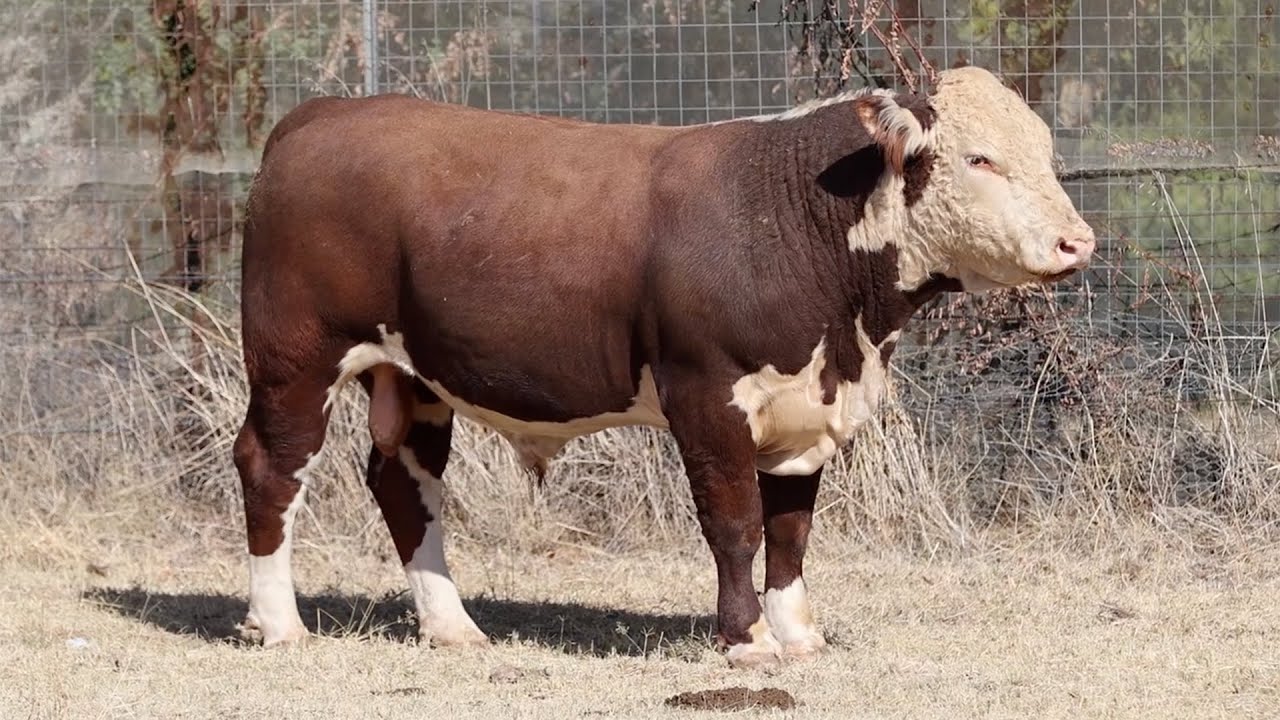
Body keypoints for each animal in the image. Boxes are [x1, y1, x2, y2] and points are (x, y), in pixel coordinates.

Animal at [232, 65, 1095, 669]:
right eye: (979, 159)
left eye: (1045, 154)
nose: (1076, 241)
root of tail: (320, 115)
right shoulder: (707, 393)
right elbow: (736, 523)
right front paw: (747, 640)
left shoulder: (805, 404)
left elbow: (791, 531)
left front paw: (798, 634)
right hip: (296, 356)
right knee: (271, 467)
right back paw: (279, 624)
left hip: (414, 377)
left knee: (405, 483)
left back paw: (453, 627)